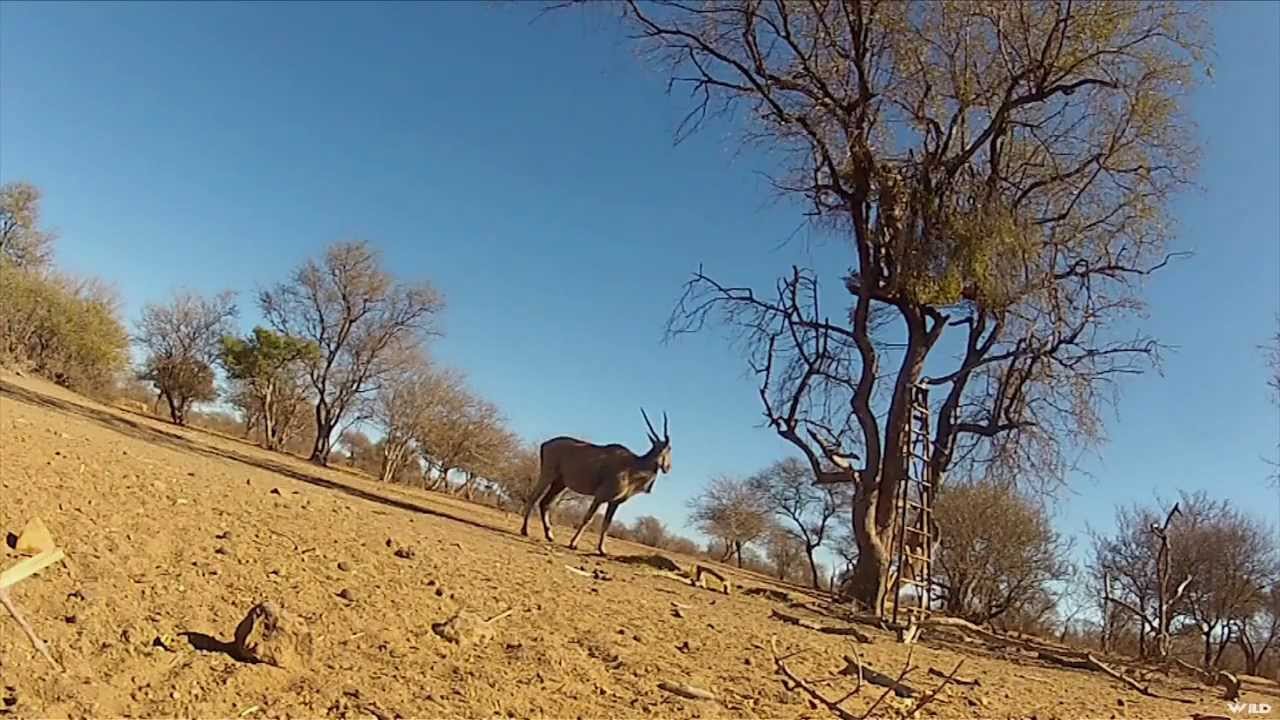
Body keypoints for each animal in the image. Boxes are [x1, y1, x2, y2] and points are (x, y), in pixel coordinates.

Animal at [520, 409, 672, 556]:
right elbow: (588, 518)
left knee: (545, 503)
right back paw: (525, 530)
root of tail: (546, 444)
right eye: (669, 448)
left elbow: (606, 524)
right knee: (534, 498)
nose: (667, 467)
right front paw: (573, 544)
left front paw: (602, 550)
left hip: (560, 484)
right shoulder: (600, 497)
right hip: (547, 475)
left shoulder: (614, 503)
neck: (633, 466)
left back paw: (549, 535)